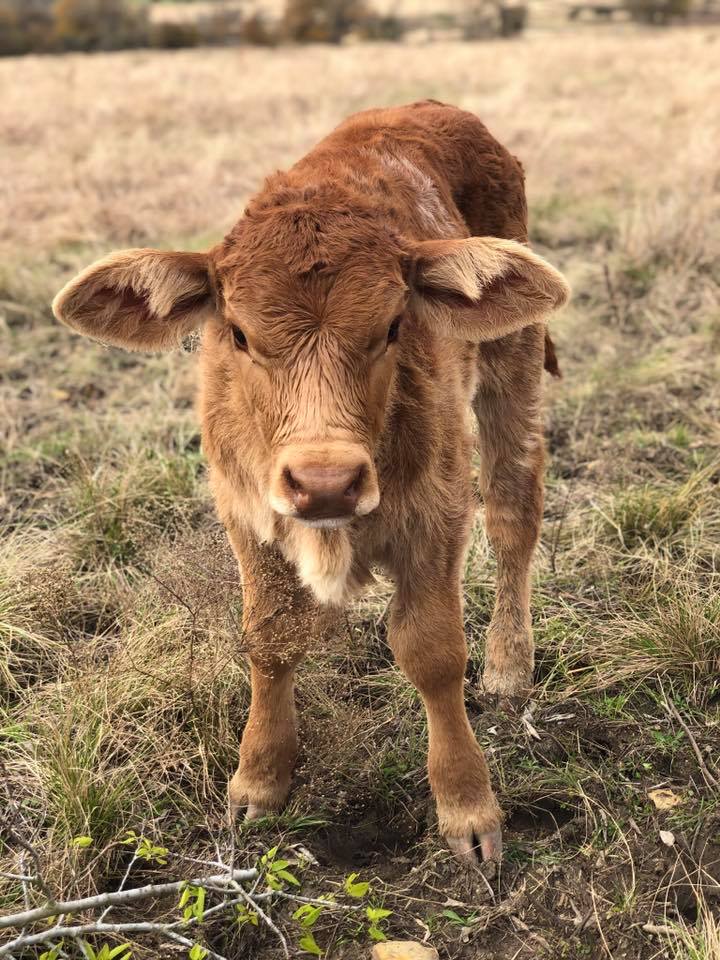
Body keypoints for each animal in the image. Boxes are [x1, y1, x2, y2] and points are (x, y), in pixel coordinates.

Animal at [53, 100, 569, 865]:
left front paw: (467, 806)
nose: (326, 481)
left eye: (393, 326)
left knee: (513, 507)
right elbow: (268, 639)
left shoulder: (436, 513)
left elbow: (433, 652)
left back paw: (509, 665)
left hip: (513, 358)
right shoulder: (247, 512)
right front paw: (258, 778)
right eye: (238, 334)